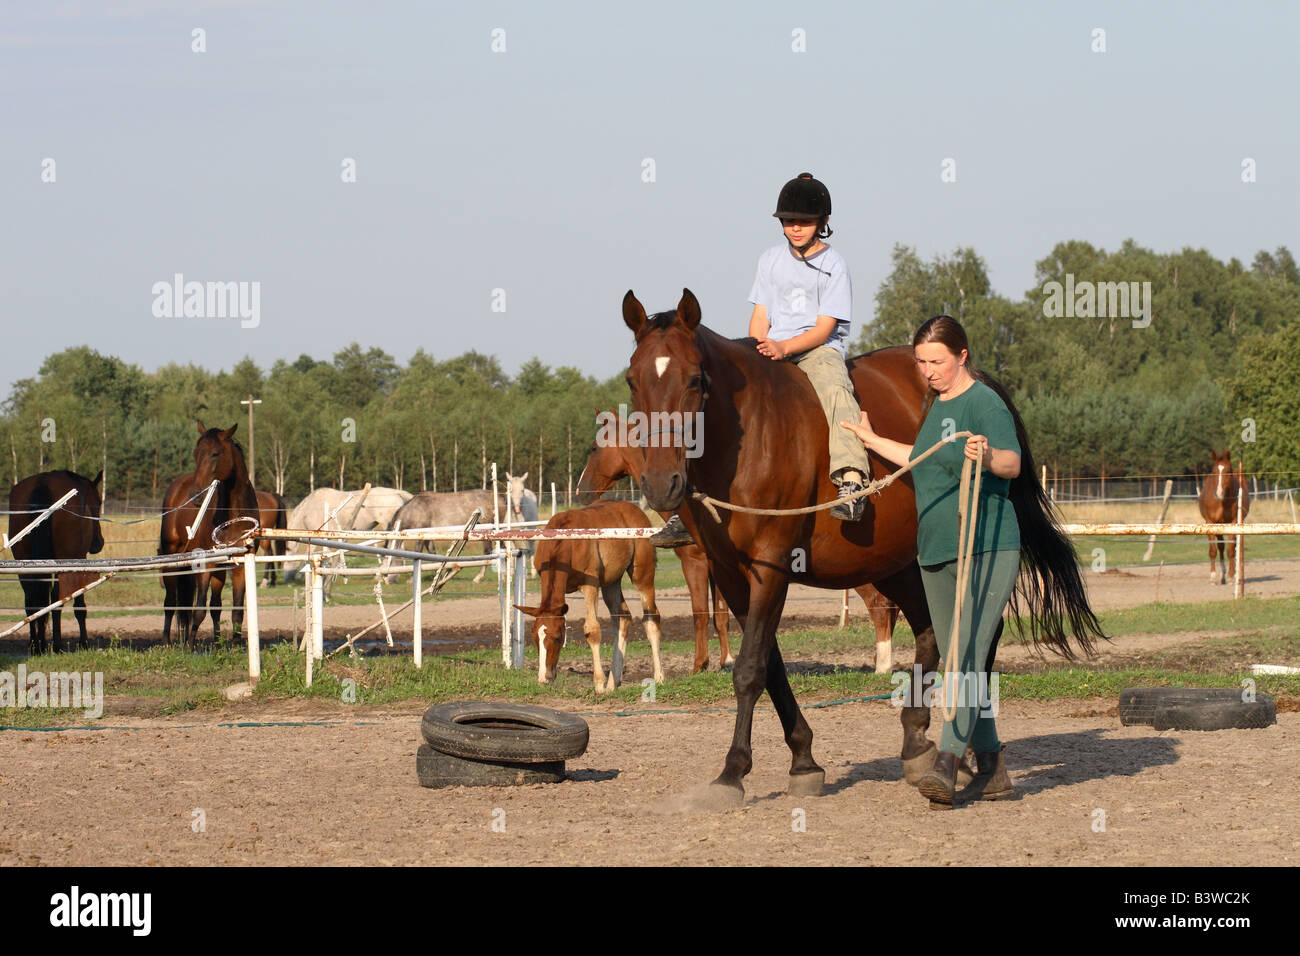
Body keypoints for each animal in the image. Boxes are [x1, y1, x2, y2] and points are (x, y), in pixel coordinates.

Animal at [6, 470, 104, 654]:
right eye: (98, 503)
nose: (98, 543)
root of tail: (43, 483)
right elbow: (79, 605)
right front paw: (84, 643)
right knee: (55, 599)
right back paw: (57, 645)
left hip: (24, 565)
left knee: (32, 600)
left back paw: (36, 645)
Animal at [513, 499, 663, 692]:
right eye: (534, 637)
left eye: (558, 637)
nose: (544, 678)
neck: (565, 542)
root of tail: (635, 509)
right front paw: (605, 684)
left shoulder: (590, 586)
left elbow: (592, 629)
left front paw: (599, 684)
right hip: (610, 582)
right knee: (622, 617)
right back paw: (613, 683)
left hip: (642, 575)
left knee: (651, 617)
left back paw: (659, 677)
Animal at [622, 289, 1102, 805]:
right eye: (632, 381)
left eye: (695, 380)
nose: (661, 484)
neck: (747, 435)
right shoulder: (731, 574)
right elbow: (771, 666)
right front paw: (804, 760)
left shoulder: (771, 565)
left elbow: (750, 668)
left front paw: (733, 772)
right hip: (897, 563)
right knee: (932, 633)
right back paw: (918, 741)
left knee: (976, 639)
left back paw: (973, 753)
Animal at [1198, 449, 1250, 585]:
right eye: (1214, 471)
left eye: (1228, 470)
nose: (1219, 493)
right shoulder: (1210, 523)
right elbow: (1213, 551)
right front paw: (1213, 577)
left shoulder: (1234, 522)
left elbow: (1231, 551)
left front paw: (1231, 576)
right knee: (1221, 547)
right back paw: (1222, 575)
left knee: (1234, 547)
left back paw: (1232, 574)